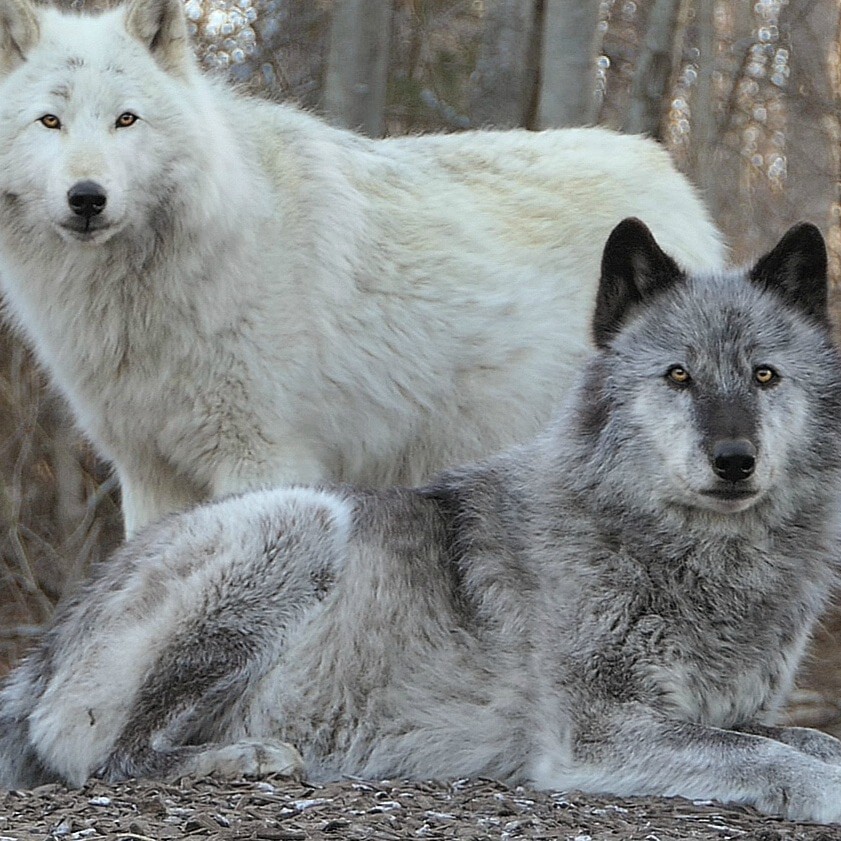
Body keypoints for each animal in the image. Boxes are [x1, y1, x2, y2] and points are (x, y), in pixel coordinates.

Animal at [0, 0, 725, 537]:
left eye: (126, 120)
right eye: (50, 121)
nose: (87, 198)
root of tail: (667, 172)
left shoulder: (265, 460)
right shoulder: (148, 472)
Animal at [1, 219, 840, 822]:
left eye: (764, 375)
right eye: (678, 375)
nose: (733, 459)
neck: (686, 554)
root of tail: (47, 645)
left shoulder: (738, 713)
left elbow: (810, 736)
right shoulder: (592, 731)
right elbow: (771, 757)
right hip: (300, 516)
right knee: (109, 760)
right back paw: (247, 757)